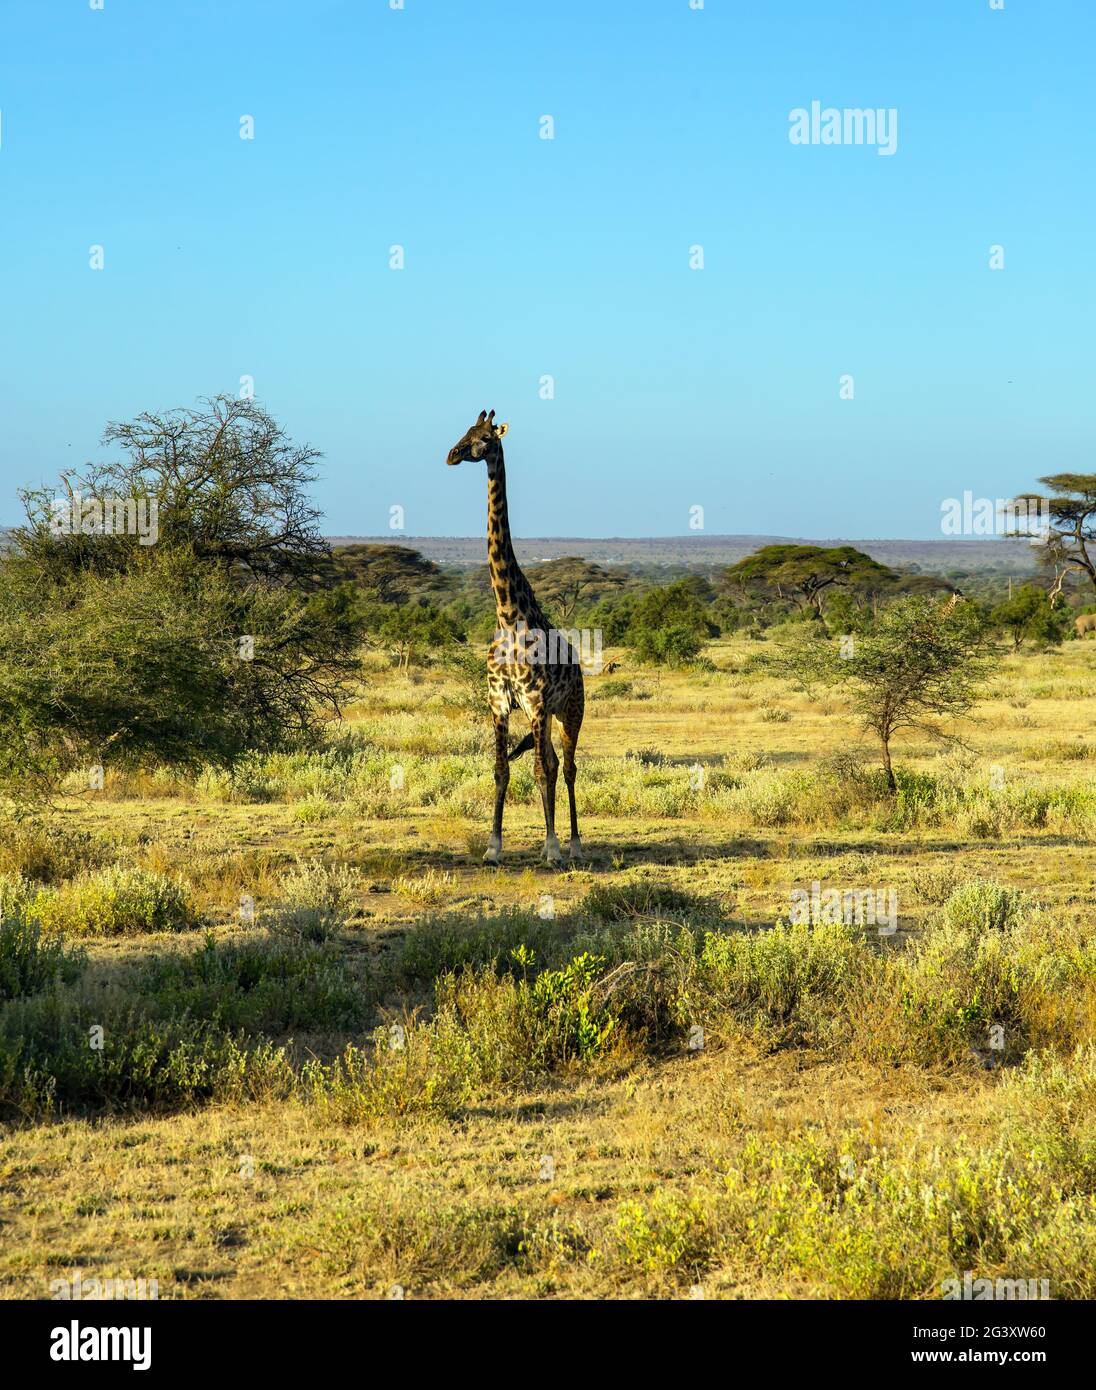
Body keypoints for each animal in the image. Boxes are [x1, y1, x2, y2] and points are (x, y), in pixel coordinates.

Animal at [446, 410, 585, 865]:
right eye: (464, 431)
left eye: (486, 438)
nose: (452, 454)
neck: (509, 616)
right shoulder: (501, 702)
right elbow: (502, 769)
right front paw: (493, 848)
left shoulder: (539, 701)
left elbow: (539, 771)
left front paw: (552, 848)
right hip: (540, 715)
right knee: (556, 764)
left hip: (571, 711)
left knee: (568, 766)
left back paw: (574, 844)